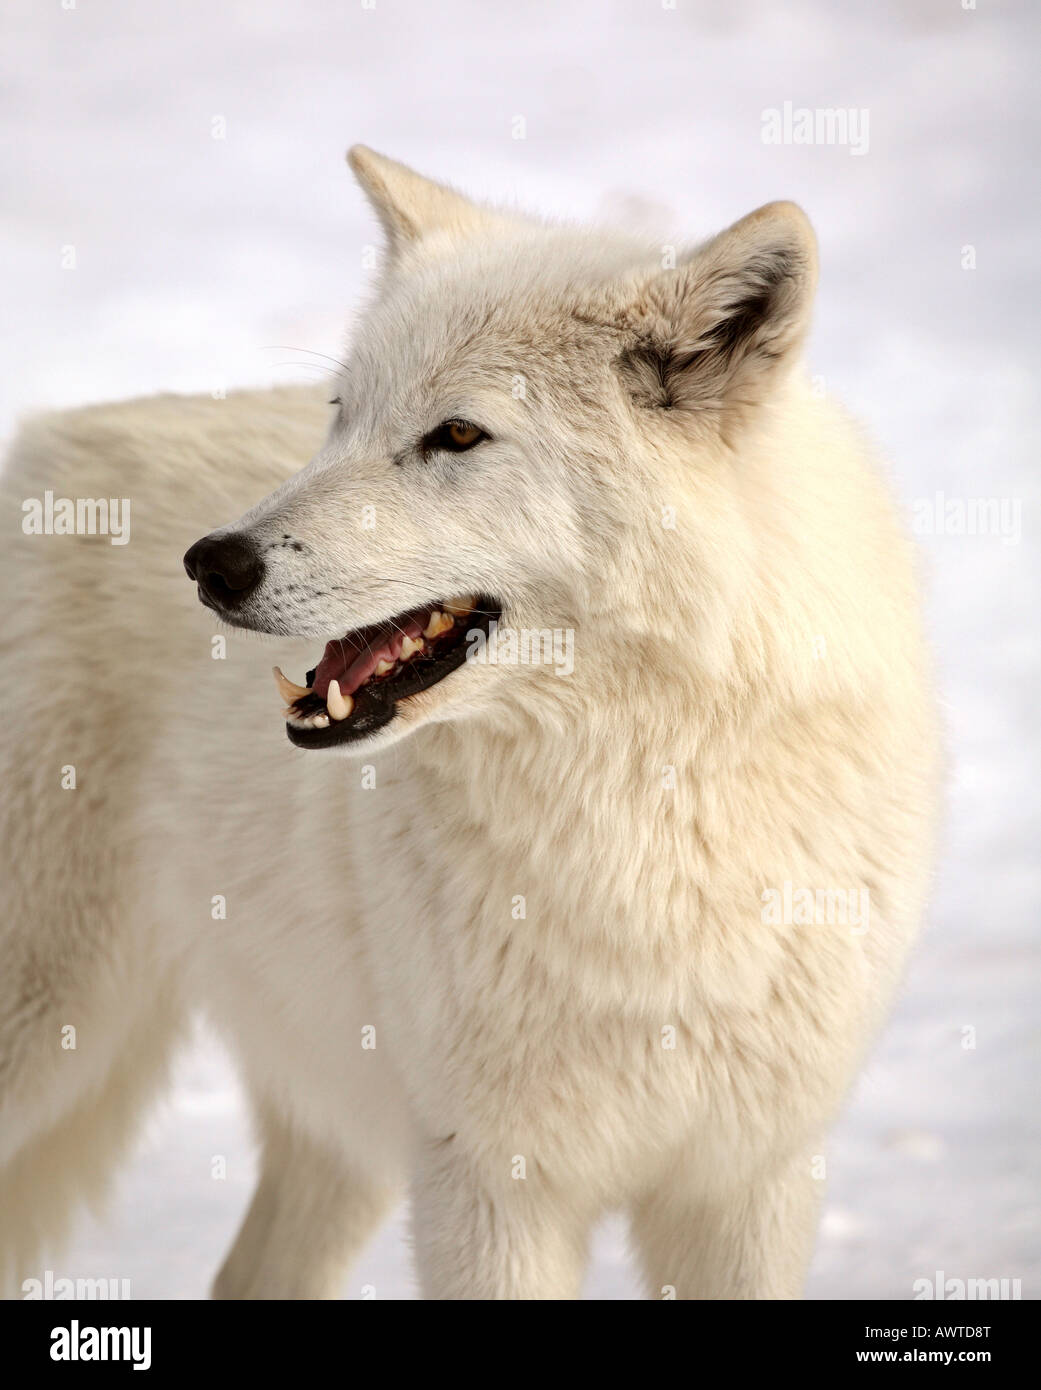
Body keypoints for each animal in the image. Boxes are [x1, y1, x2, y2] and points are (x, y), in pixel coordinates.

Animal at [0, 147, 939, 1299]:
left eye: (455, 434)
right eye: (341, 414)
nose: (211, 564)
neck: (641, 808)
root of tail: (47, 441)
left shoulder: (746, 1181)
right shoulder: (489, 1186)